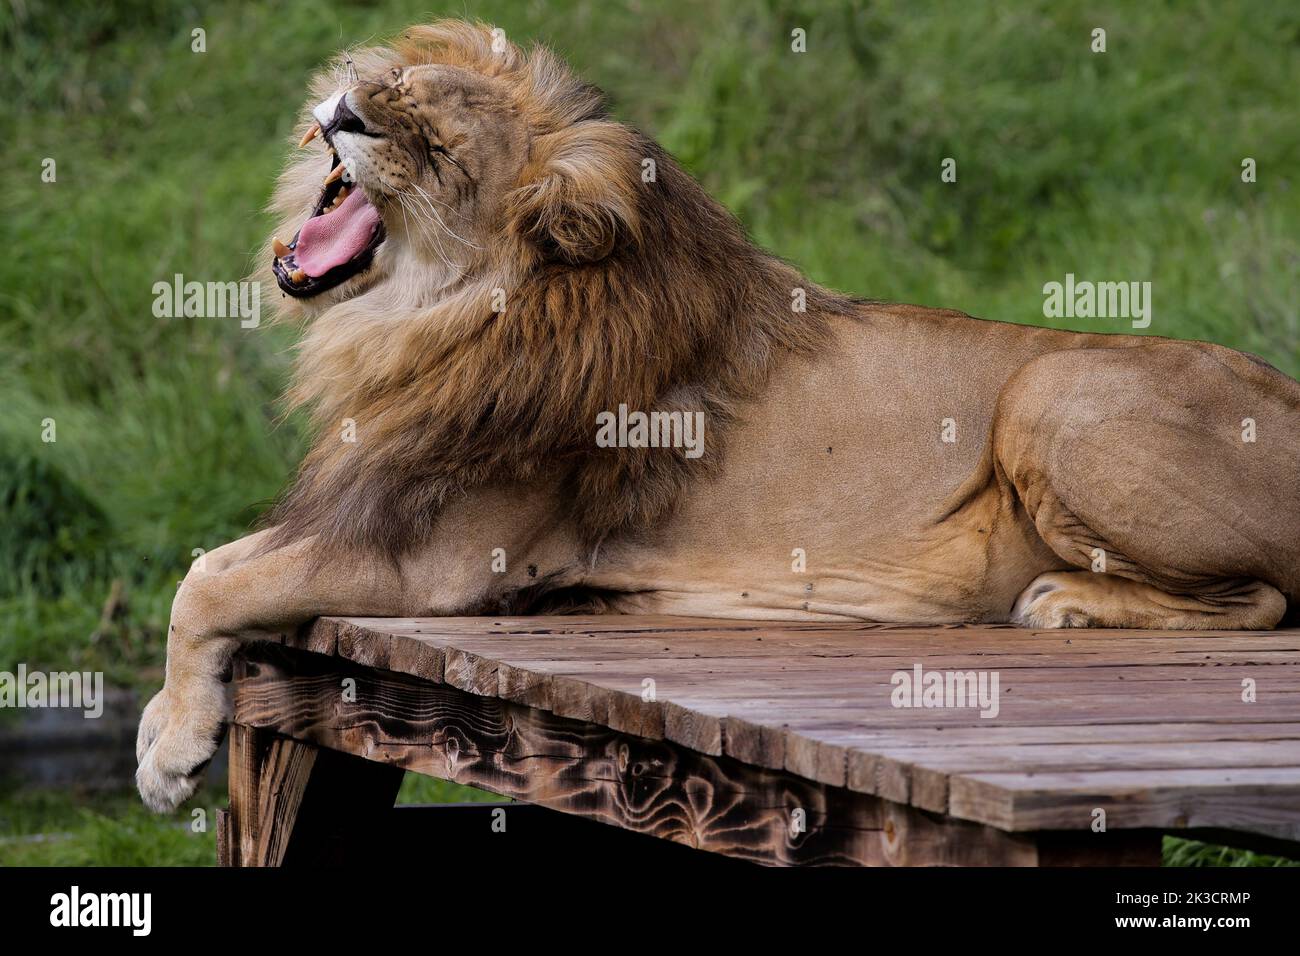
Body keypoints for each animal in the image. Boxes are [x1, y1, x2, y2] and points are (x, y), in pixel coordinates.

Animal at [136, 20, 1300, 811]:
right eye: (396, 86)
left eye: (441, 151)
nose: (348, 111)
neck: (420, 322)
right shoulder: (369, 501)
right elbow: (215, 561)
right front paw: (160, 721)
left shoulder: (440, 562)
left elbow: (209, 585)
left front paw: (173, 750)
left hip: (1047, 395)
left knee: (1266, 600)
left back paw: (1065, 604)